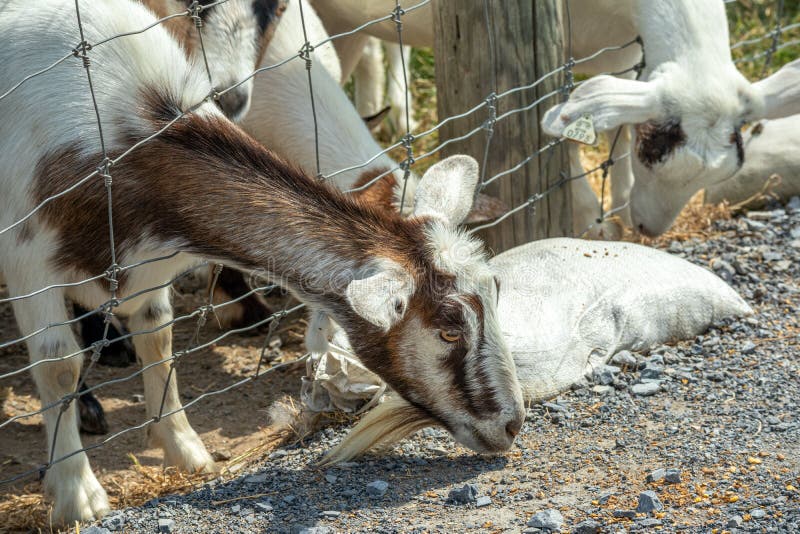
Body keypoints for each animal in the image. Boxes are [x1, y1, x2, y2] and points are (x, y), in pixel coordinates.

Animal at [0, 0, 523, 522]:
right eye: (449, 331)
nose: (513, 425)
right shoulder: (28, 264)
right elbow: (59, 366)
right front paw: (77, 494)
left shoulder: (151, 268)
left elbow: (159, 337)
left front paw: (186, 450)